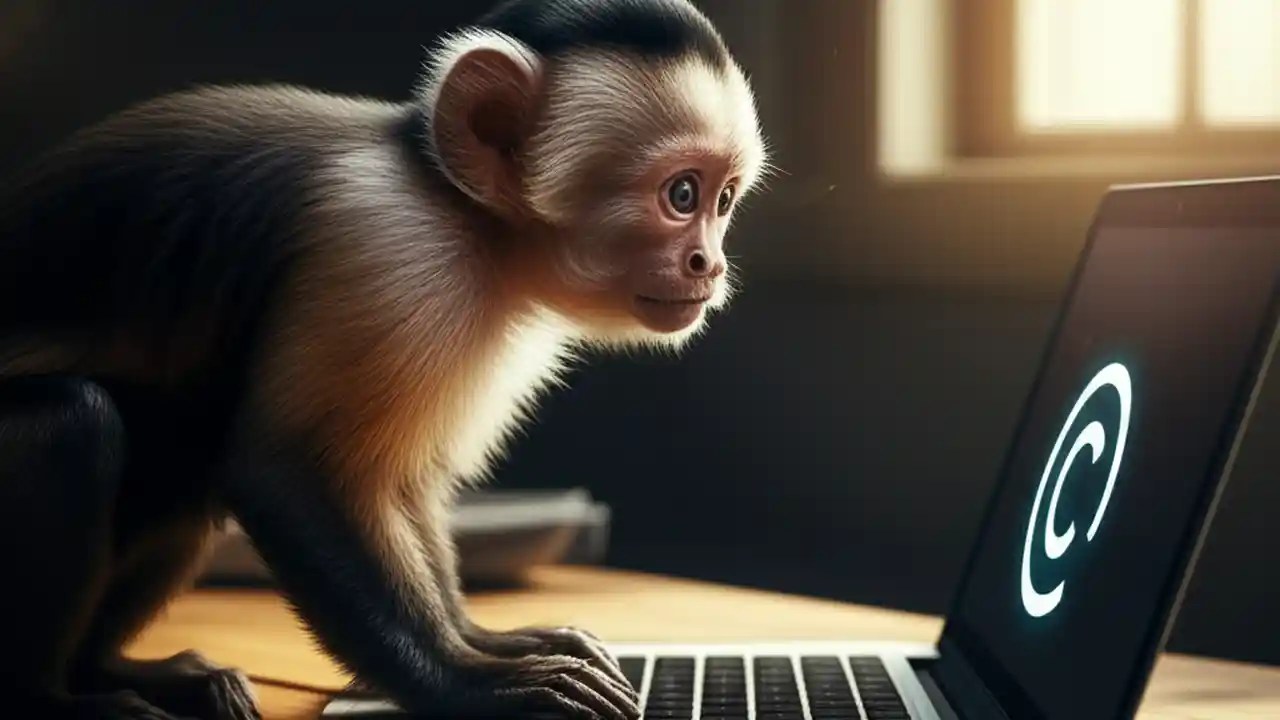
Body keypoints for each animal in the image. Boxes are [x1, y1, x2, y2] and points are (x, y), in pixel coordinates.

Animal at [0, 0, 769, 717]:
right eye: (682, 195)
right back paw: (55, 696)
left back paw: (119, 671)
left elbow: (403, 480)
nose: (711, 263)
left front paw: (483, 641)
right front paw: (469, 683)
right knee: (77, 422)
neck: (461, 213)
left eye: (725, 201)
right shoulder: (386, 242)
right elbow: (283, 471)